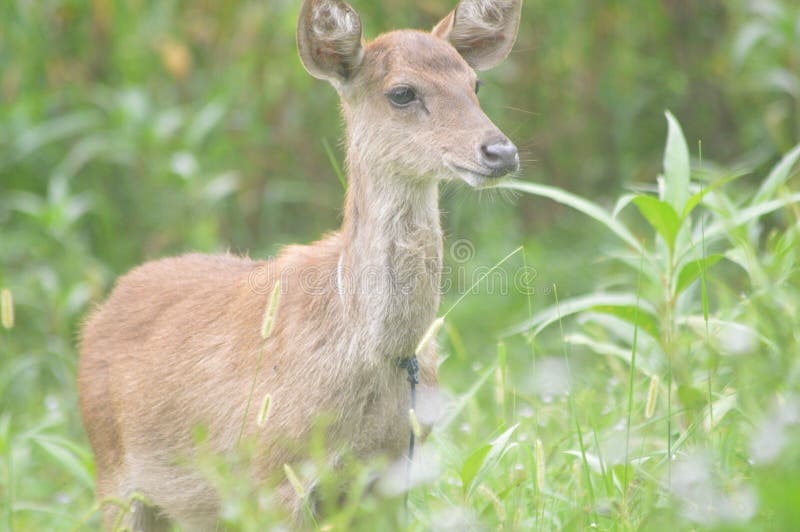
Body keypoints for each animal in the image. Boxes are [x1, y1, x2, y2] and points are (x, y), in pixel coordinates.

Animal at [78, 0, 522, 529]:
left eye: (475, 83)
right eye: (402, 92)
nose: (501, 150)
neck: (371, 350)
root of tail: (97, 316)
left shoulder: (392, 475)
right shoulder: (273, 474)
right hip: (115, 477)